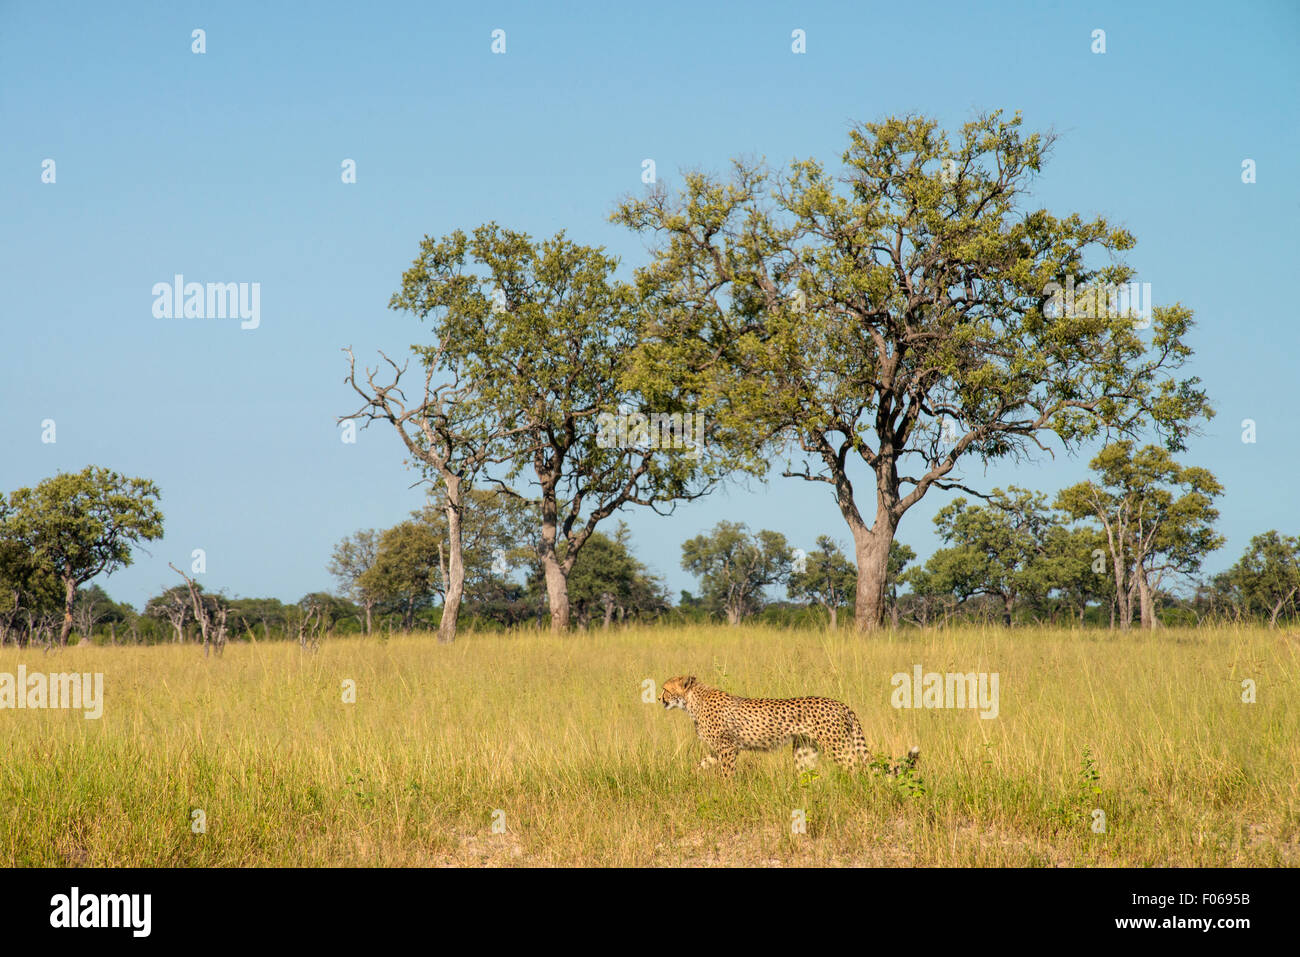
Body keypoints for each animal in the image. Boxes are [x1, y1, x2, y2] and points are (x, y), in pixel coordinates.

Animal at [659, 674, 919, 779]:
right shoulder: (719, 749)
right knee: (808, 775)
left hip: (837, 746)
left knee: (856, 767)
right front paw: (690, 777)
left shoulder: (728, 748)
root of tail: (842, 704)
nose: (660, 699)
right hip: (804, 750)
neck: (692, 700)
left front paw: (727, 791)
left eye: (665, 689)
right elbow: (700, 764)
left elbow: (727, 773)